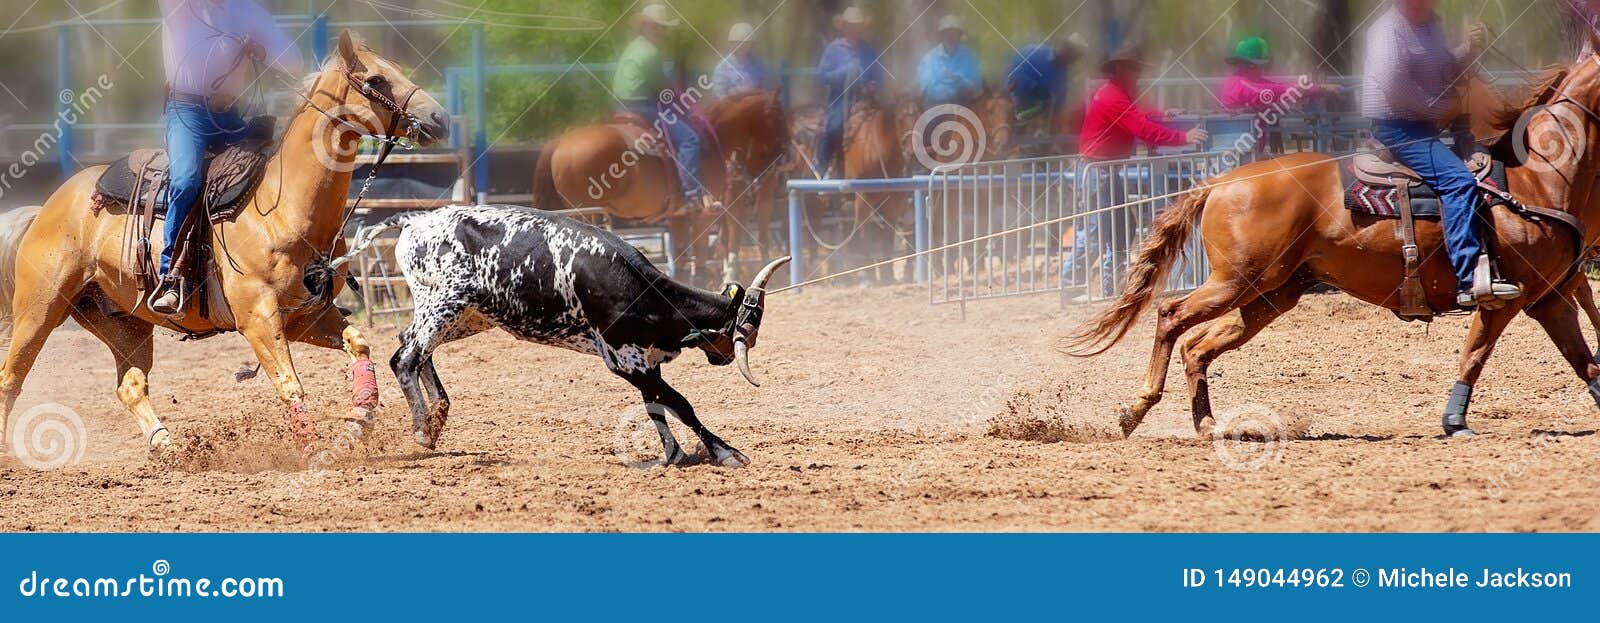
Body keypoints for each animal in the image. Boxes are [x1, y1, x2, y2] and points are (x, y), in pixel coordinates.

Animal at [333, 205, 789, 468]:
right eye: (744, 332)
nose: (727, 357)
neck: (635, 286)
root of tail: (414, 219)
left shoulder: (643, 364)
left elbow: (656, 407)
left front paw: (673, 454)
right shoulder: (624, 361)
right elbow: (680, 404)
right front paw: (726, 452)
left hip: (462, 315)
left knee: (409, 344)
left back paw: (437, 417)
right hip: (445, 303)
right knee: (404, 358)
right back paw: (421, 430)